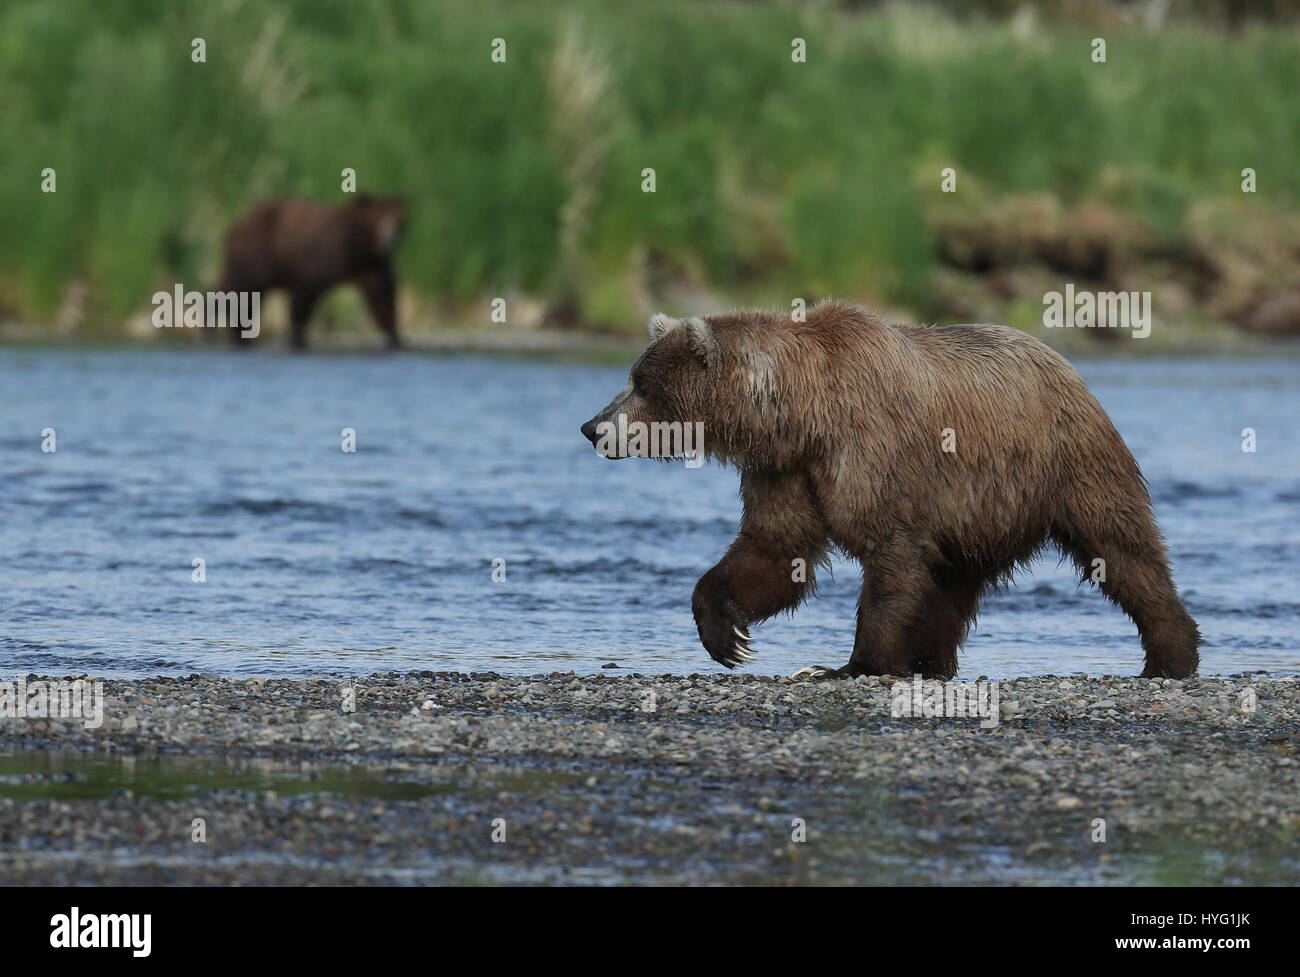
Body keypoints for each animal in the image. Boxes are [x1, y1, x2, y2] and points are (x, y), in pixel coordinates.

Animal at [217, 195, 406, 349]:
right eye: (377, 219)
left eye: (397, 219)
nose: (389, 240)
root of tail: (236, 222)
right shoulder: (314, 264)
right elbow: (301, 303)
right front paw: (297, 338)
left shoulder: (373, 267)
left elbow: (383, 293)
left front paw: (394, 333)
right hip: (254, 254)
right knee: (239, 289)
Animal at [580, 302, 1200, 680]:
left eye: (639, 382)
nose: (592, 426)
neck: (802, 415)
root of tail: (1067, 364)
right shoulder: (787, 471)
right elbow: (774, 549)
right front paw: (727, 633)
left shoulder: (875, 451)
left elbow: (891, 554)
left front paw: (853, 664)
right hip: (978, 514)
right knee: (952, 585)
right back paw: (931, 662)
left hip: (1066, 463)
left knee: (1120, 548)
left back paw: (1171, 655)